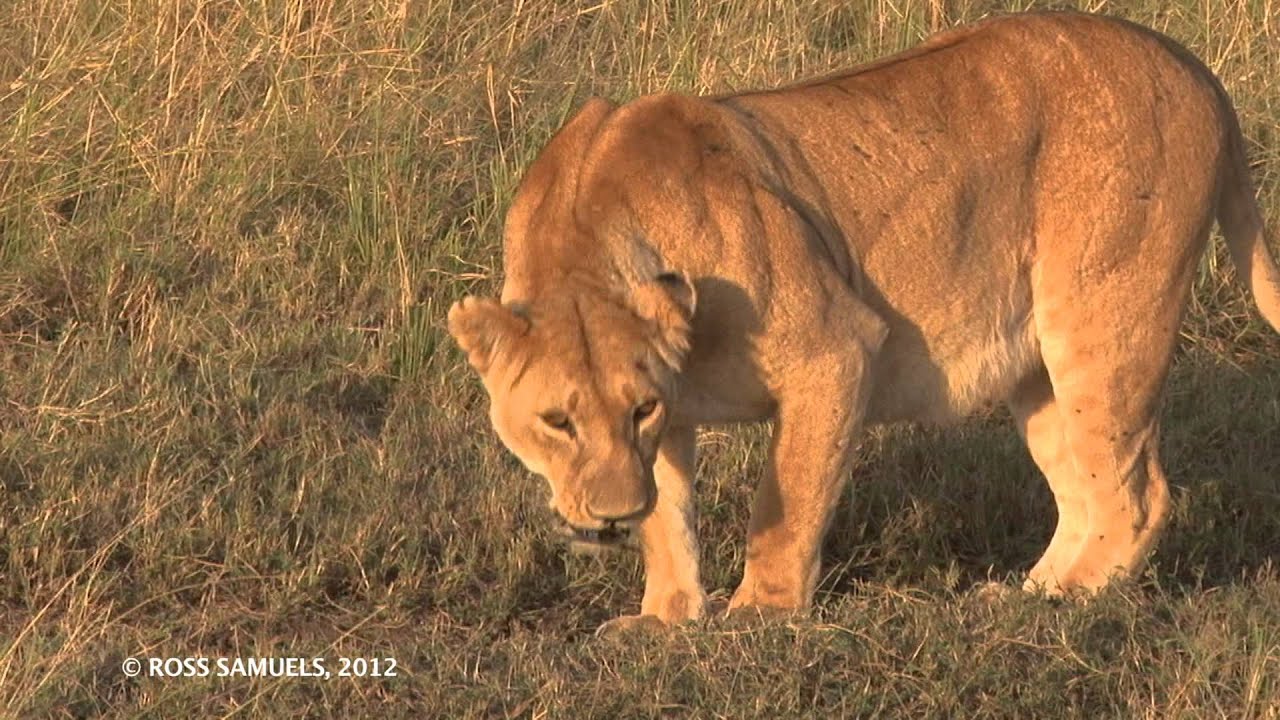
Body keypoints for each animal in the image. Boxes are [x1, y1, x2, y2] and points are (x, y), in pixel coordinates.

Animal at [447, 11, 1280, 631]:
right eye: (557, 422)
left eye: (637, 409)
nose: (610, 517)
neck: (589, 245)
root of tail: (1186, 59)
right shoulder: (675, 409)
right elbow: (669, 519)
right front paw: (666, 620)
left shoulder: (835, 350)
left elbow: (784, 500)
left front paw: (760, 617)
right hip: (1040, 365)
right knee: (1082, 486)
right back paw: (1026, 596)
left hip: (1102, 318)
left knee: (1137, 494)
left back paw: (1071, 604)